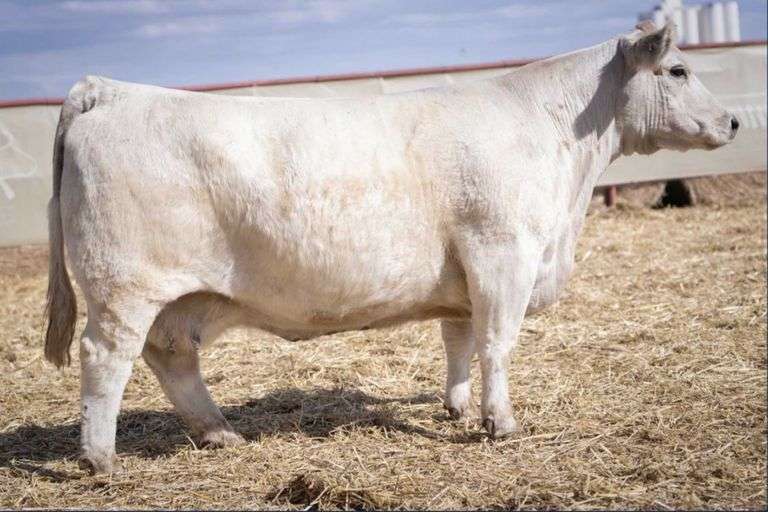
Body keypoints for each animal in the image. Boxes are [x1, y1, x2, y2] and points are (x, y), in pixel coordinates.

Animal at [44, 21, 738, 474]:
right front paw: (501, 423)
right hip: (124, 287)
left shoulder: (465, 276)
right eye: (678, 70)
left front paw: (457, 408)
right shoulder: (502, 254)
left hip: (182, 297)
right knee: (106, 357)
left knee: (171, 355)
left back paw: (219, 434)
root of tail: (107, 89)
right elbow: (497, 343)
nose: (733, 121)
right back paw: (101, 460)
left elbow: (459, 341)